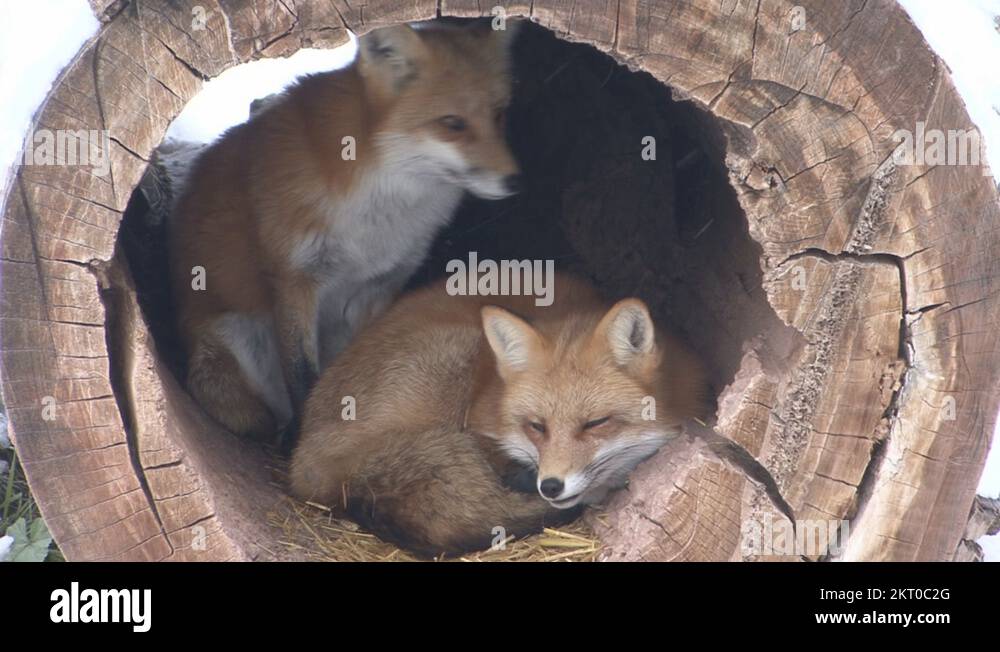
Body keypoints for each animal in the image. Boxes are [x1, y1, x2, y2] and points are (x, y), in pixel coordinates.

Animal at [168, 20, 522, 443]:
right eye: (453, 124)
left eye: (500, 114)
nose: (515, 180)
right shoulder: (295, 279)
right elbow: (303, 377)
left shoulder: (380, 284)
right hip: (235, 335)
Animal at [289, 273, 710, 556]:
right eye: (537, 426)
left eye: (595, 423)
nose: (550, 486)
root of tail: (303, 458)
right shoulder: (479, 426)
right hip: (459, 352)